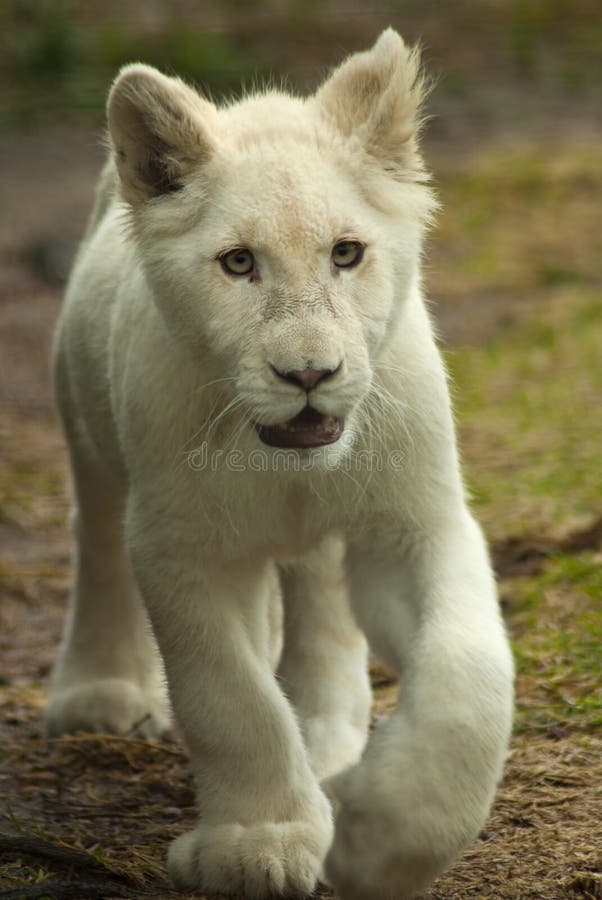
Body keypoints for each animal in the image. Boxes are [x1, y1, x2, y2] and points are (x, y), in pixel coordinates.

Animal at [45, 29, 514, 899]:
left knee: (321, 603)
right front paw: (261, 842)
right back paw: (97, 691)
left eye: (346, 253)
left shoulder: (414, 525)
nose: (309, 375)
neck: (284, 470)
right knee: (95, 542)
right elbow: (229, 701)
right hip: (83, 424)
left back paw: (329, 746)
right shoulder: (178, 548)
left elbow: (469, 675)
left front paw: (381, 841)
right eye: (238, 264)